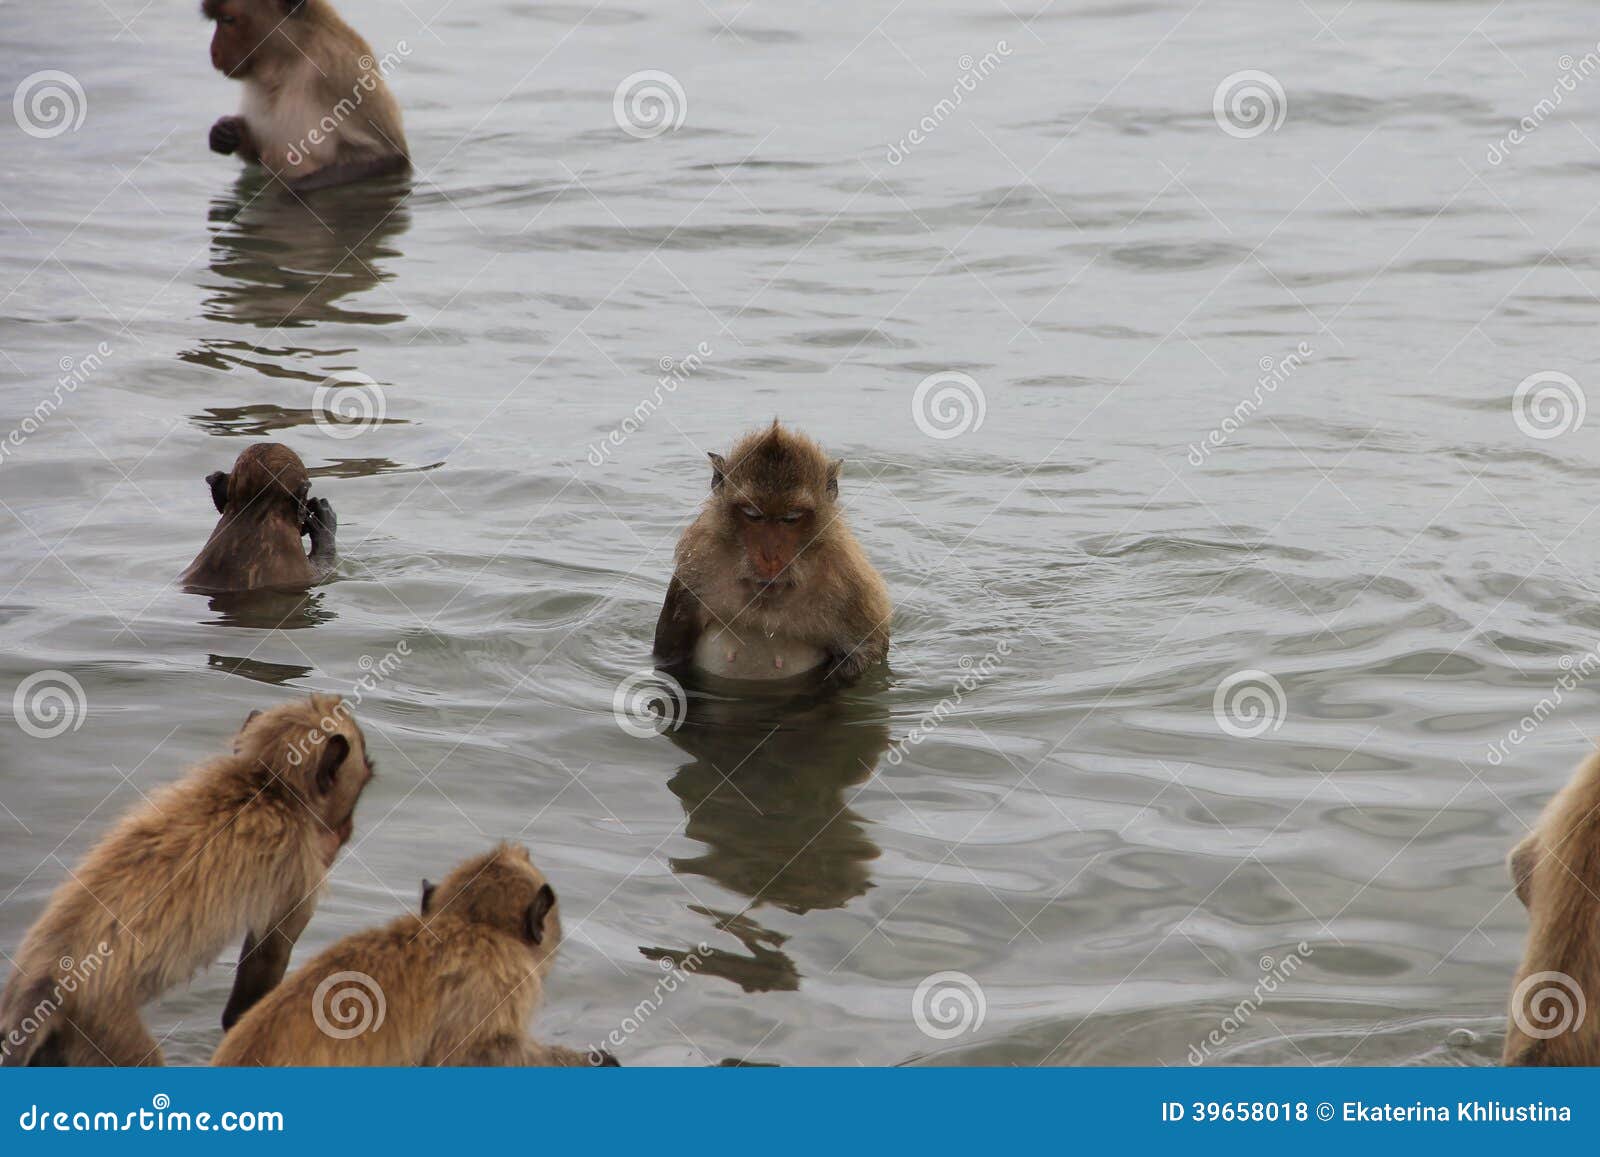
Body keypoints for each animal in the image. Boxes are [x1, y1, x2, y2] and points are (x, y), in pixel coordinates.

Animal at [0, 696, 373, 1066]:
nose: (346, 831)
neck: (271, 787)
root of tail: (41, 984)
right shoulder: (299, 867)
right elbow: (268, 952)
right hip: (100, 1027)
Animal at [204, 0, 409, 193]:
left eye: (228, 20)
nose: (213, 52)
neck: (287, 60)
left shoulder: (335, 73)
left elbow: (389, 156)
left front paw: (291, 188)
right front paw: (226, 132)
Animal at [653, 421, 891, 687]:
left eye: (791, 518)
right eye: (752, 514)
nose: (770, 557)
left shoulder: (852, 582)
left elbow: (862, 654)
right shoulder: (696, 565)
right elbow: (670, 654)